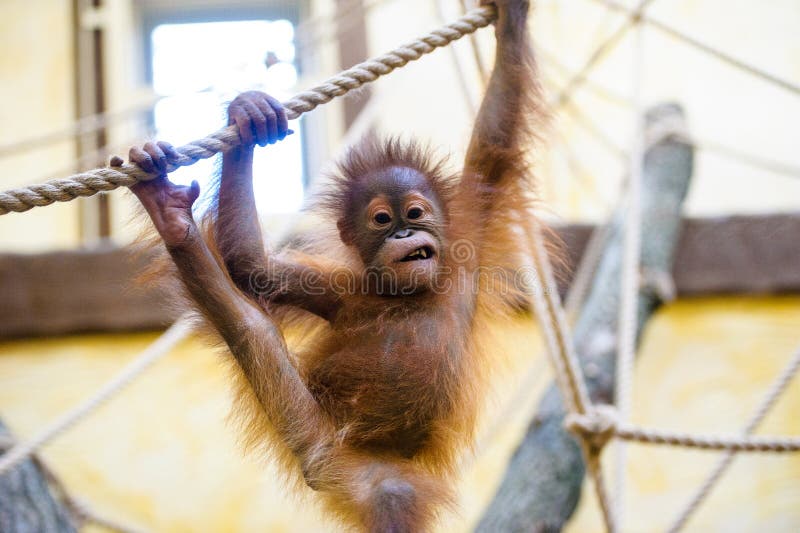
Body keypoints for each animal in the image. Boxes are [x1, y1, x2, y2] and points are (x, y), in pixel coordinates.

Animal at [124, 0, 542, 530]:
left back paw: (170, 215)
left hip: (375, 476)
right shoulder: (339, 286)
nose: (404, 235)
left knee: (390, 500)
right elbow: (255, 268)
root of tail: (326, 463)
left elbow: (492, 145)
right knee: (250, 330)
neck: (404, 293)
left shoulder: (468, 244)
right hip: (316, 430)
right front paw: (248, 120)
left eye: (416, 212)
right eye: (382, 219)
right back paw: (172, 217)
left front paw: (511, 20)